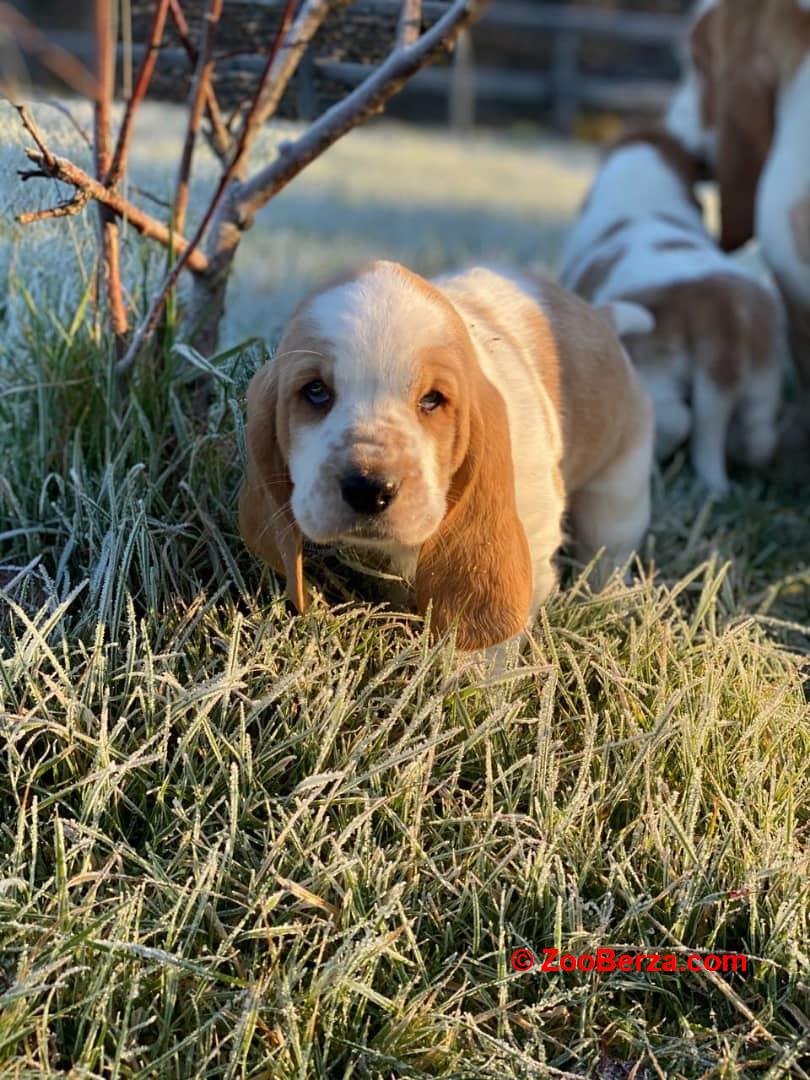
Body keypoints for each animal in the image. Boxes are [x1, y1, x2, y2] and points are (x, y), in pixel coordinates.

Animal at [237, 261, 656, 648]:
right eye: (316, 391)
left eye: (432, 399)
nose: (369, 490)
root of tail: (602, 318)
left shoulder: (533, 537)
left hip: (619, 496)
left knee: (609, 556)